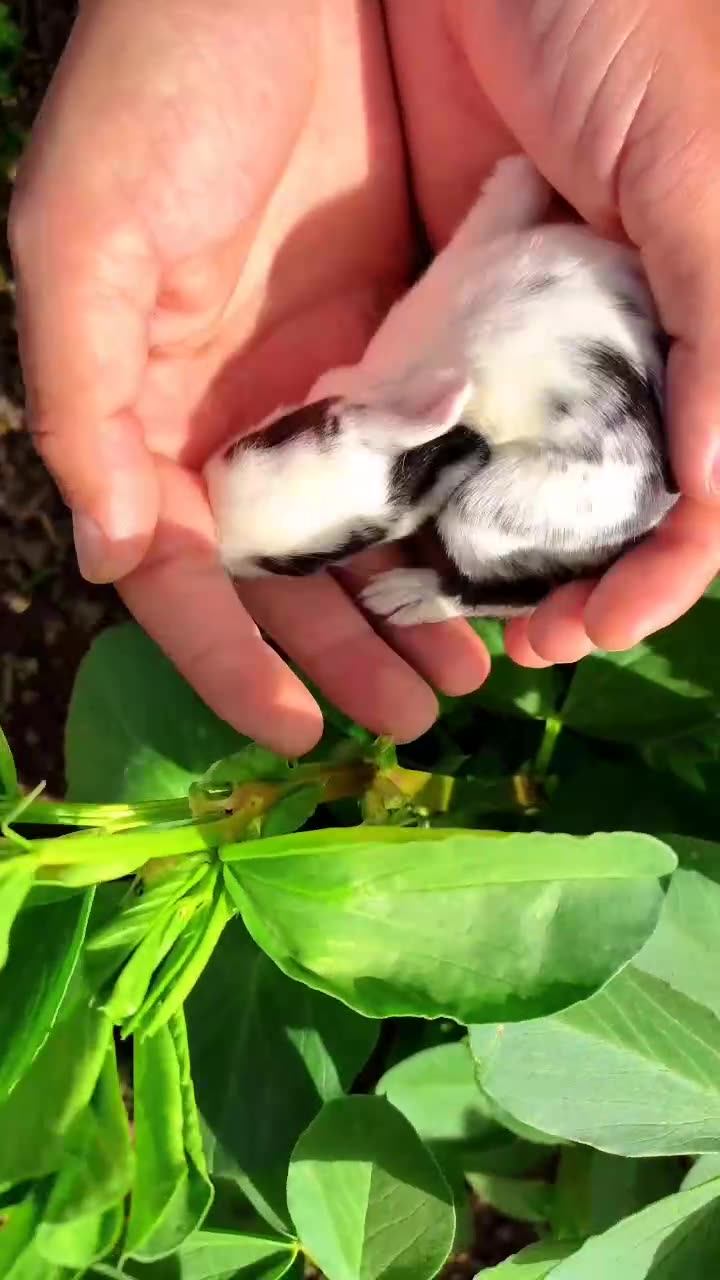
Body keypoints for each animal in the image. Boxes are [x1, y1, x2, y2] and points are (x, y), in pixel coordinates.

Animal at [203, 154, 677, 625]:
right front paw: (520, 168)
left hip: (480, 510)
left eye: (304, 566)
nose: (221, 549)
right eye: (264, 437)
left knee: (526, 592)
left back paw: (408, 598)